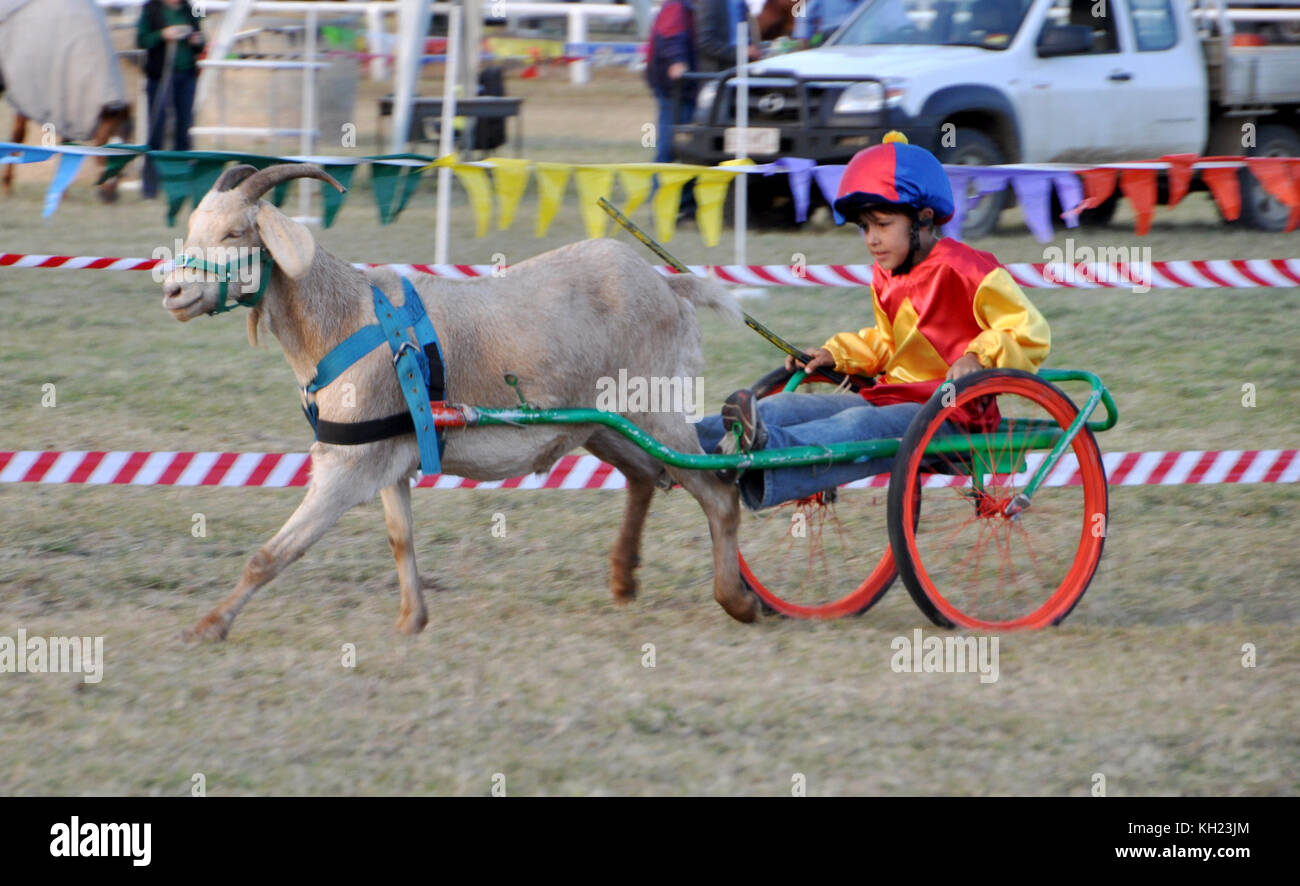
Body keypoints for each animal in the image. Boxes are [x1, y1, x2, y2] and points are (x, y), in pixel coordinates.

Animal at [161, 163, 760, 641]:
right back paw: (623, 578)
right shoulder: (388, 455)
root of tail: (670, 288)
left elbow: (271, 555)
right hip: (604, 424)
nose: (173, 293)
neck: (344, 321)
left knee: (717, 491)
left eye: (236, 231)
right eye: (194, 228)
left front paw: (207, 627)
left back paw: (738, 601)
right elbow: (400, 538)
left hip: (653, 406)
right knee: (646, 477)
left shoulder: (347, 467)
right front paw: (411, 621)